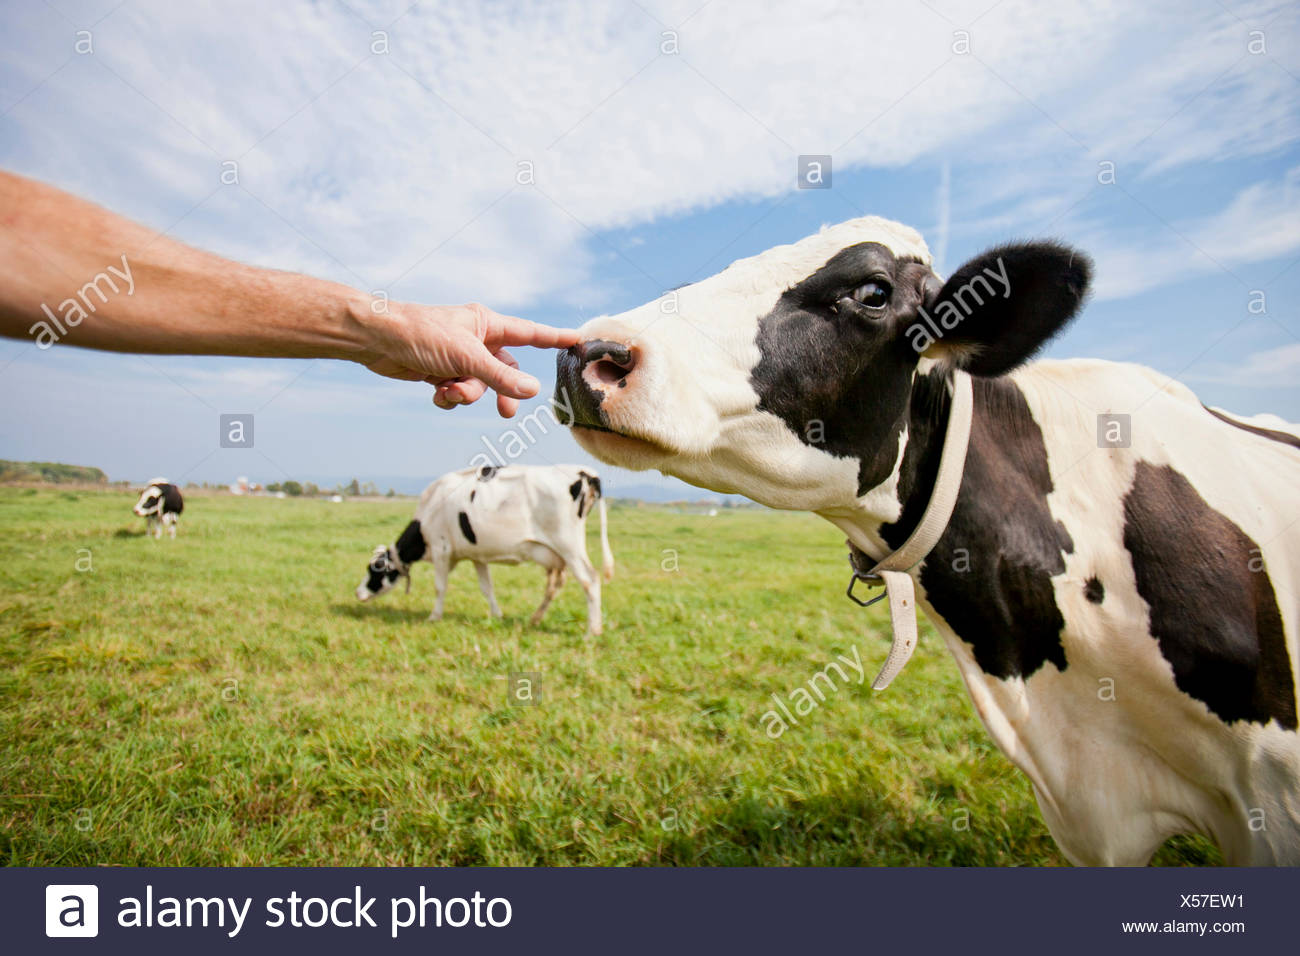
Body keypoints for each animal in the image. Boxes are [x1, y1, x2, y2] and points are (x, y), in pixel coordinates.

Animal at [355, 464, 614, 635]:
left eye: (375, 569)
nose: (358, 593)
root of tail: (584, 472)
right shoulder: (477, 556)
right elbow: (486, 588)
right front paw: (497, 615)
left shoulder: (441, 549)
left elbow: (440, 587)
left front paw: (434, 616)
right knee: (555, 586)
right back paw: (535, 619)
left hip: (569, 545)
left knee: (590, 580)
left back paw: (593, 631)